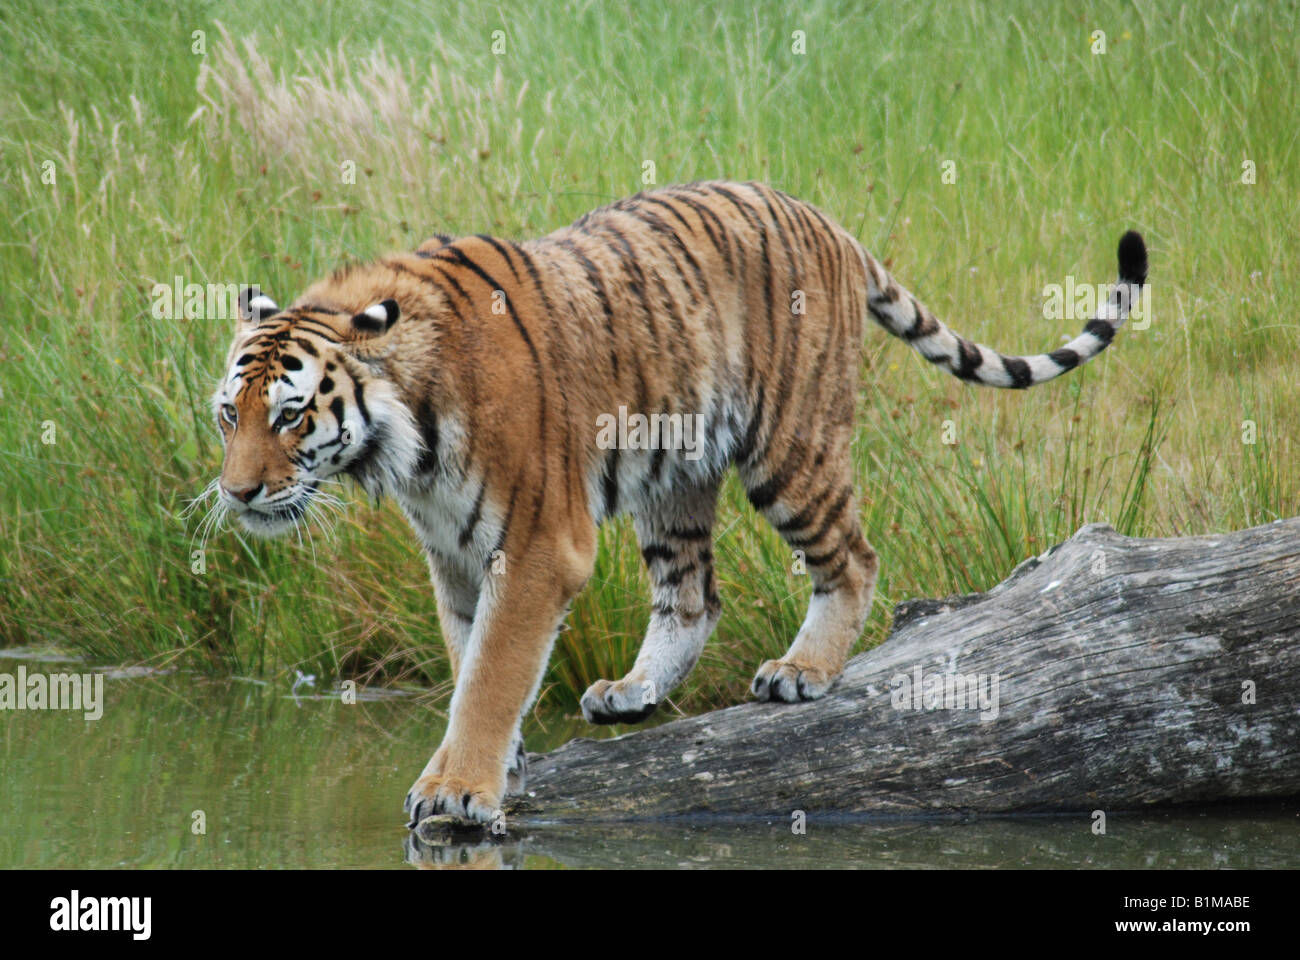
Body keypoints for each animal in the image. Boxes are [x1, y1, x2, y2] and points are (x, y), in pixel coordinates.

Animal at [209, 180, 1147, 826]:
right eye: (230, 414)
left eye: (290, 415)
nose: (236, 493)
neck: (405, 448)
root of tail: (829, 222)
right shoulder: (454, 558)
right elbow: (469, 661)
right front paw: (493, 767)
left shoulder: (538, 545)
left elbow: (492, 675)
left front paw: (456, 787)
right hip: (674, 473)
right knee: (693, 594)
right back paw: (633, 690)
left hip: (789, 447)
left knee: (852, 556)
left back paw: (803, 671)